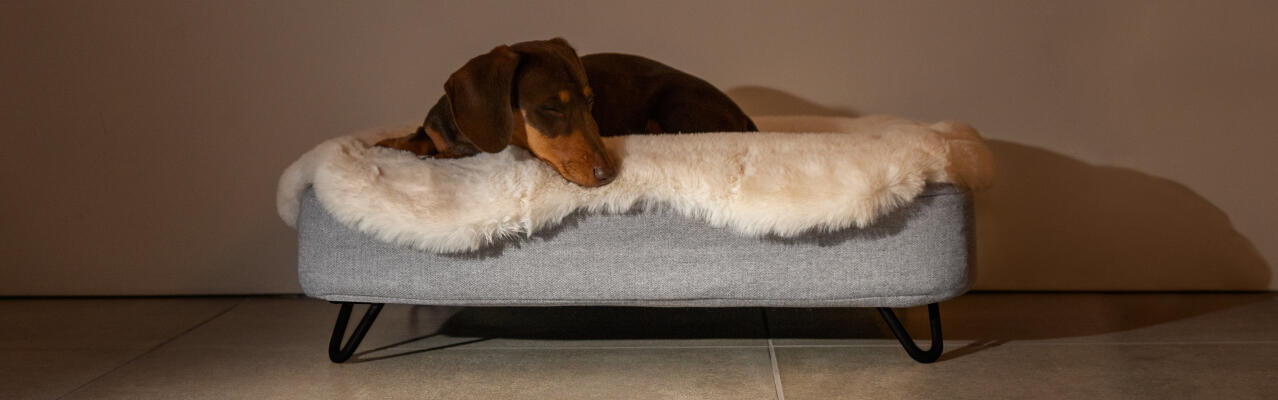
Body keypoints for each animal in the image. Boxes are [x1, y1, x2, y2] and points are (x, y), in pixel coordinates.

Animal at [373, 38, 751, 186]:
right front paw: (387, 144)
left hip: (676, 106)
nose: (608, 174)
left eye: (591, 102)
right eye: (551, 107)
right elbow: (417, 139)